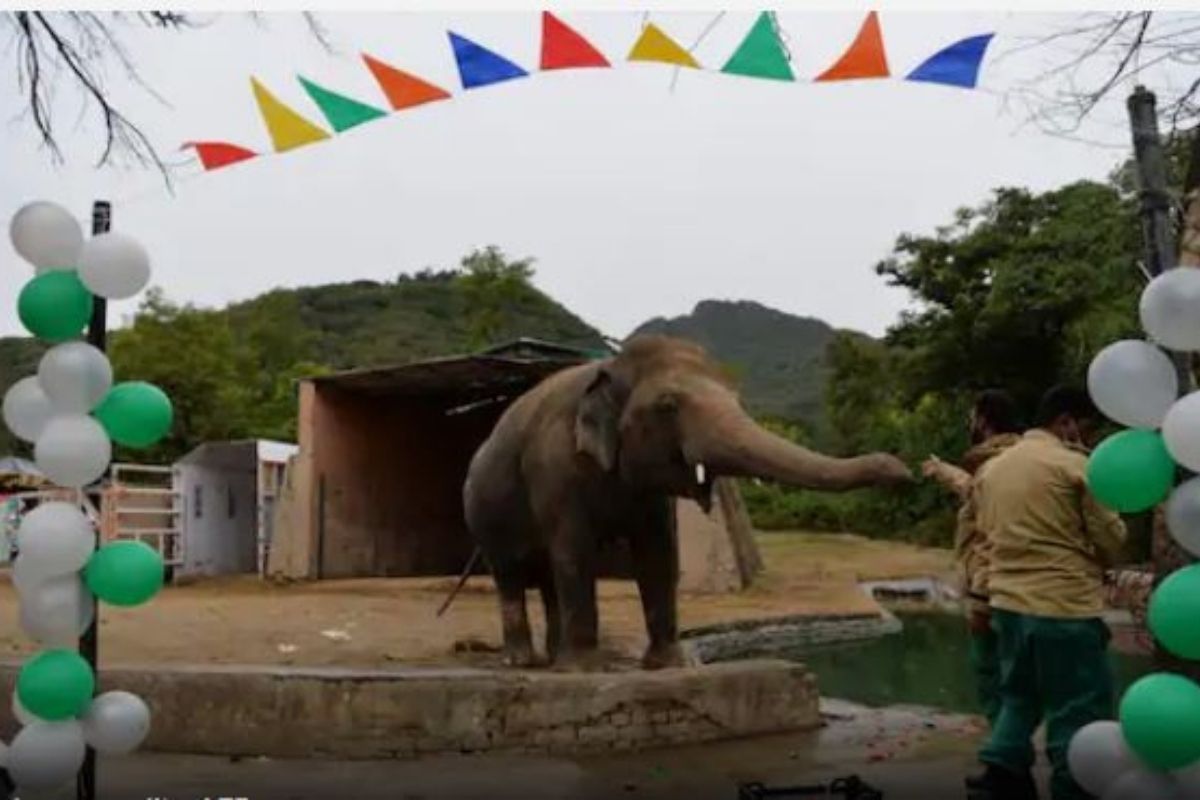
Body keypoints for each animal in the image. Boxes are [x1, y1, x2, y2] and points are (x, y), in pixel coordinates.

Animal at [462, 334, 913, 670]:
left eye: (736, 398)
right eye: (668, 405)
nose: (901, 470)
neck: (609, 369)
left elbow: (659, 554)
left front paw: (667, 665)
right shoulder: (555, 469)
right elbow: (575, 553)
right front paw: (586, 671)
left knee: (545, 577)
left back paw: (553, 658)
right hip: (482, 514)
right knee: (512, 572)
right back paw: (524, 662)